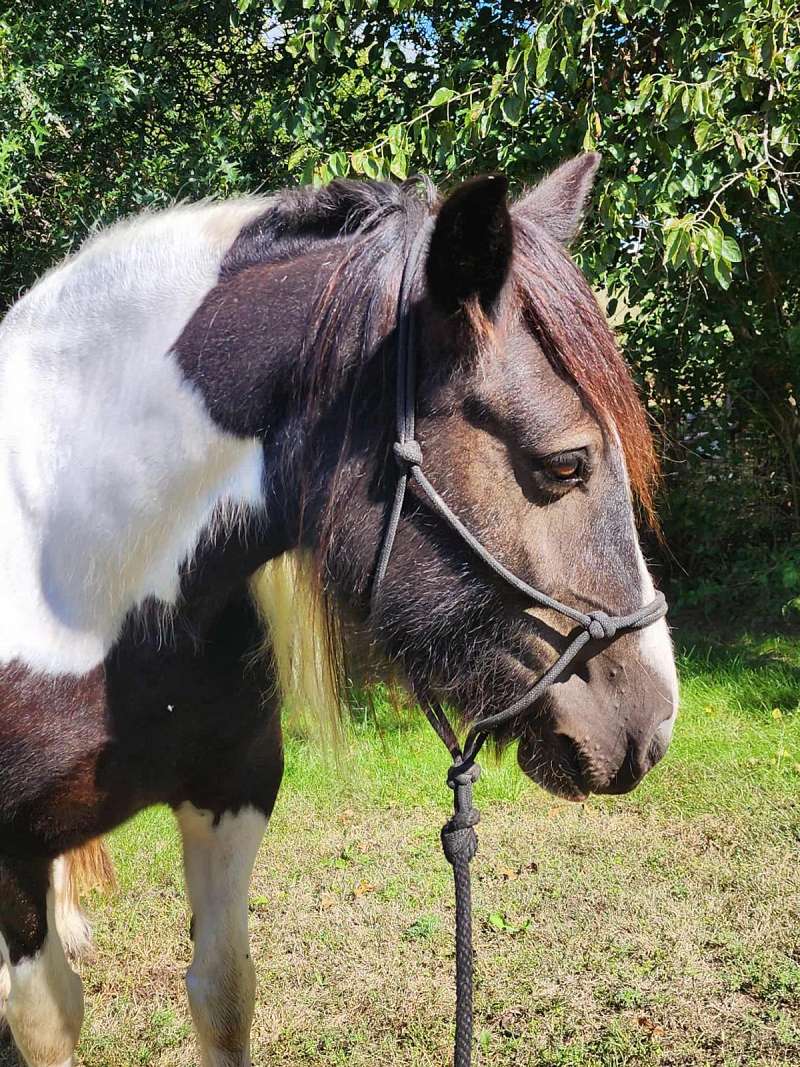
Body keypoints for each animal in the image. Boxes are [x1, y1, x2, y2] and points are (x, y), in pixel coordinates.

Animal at [0, 153, 678, 1067]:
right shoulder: (11, 857)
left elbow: (222, 993)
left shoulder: (231, 789)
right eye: (564, 463)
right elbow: (47, 1016)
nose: (653, 721)